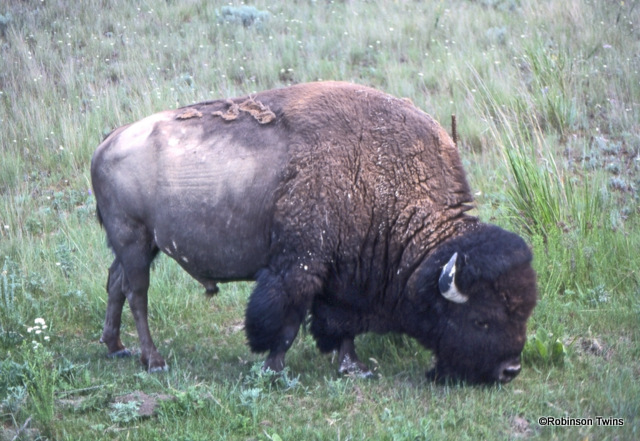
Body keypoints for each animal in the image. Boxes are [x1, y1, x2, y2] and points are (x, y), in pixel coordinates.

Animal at [91, 81, 537, 384]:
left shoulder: (344, 276)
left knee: (115, 283)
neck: (379, 176)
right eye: (481, 319)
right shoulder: (300, 267)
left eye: (524, 310)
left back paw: (115, 347)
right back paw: (153, 360)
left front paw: (353, 367)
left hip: (136, 246)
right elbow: (285, 322)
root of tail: (108, 141)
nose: (511, 369)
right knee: (137, 294)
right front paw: (273, 369)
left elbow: (340, 325)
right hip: (134, 240)